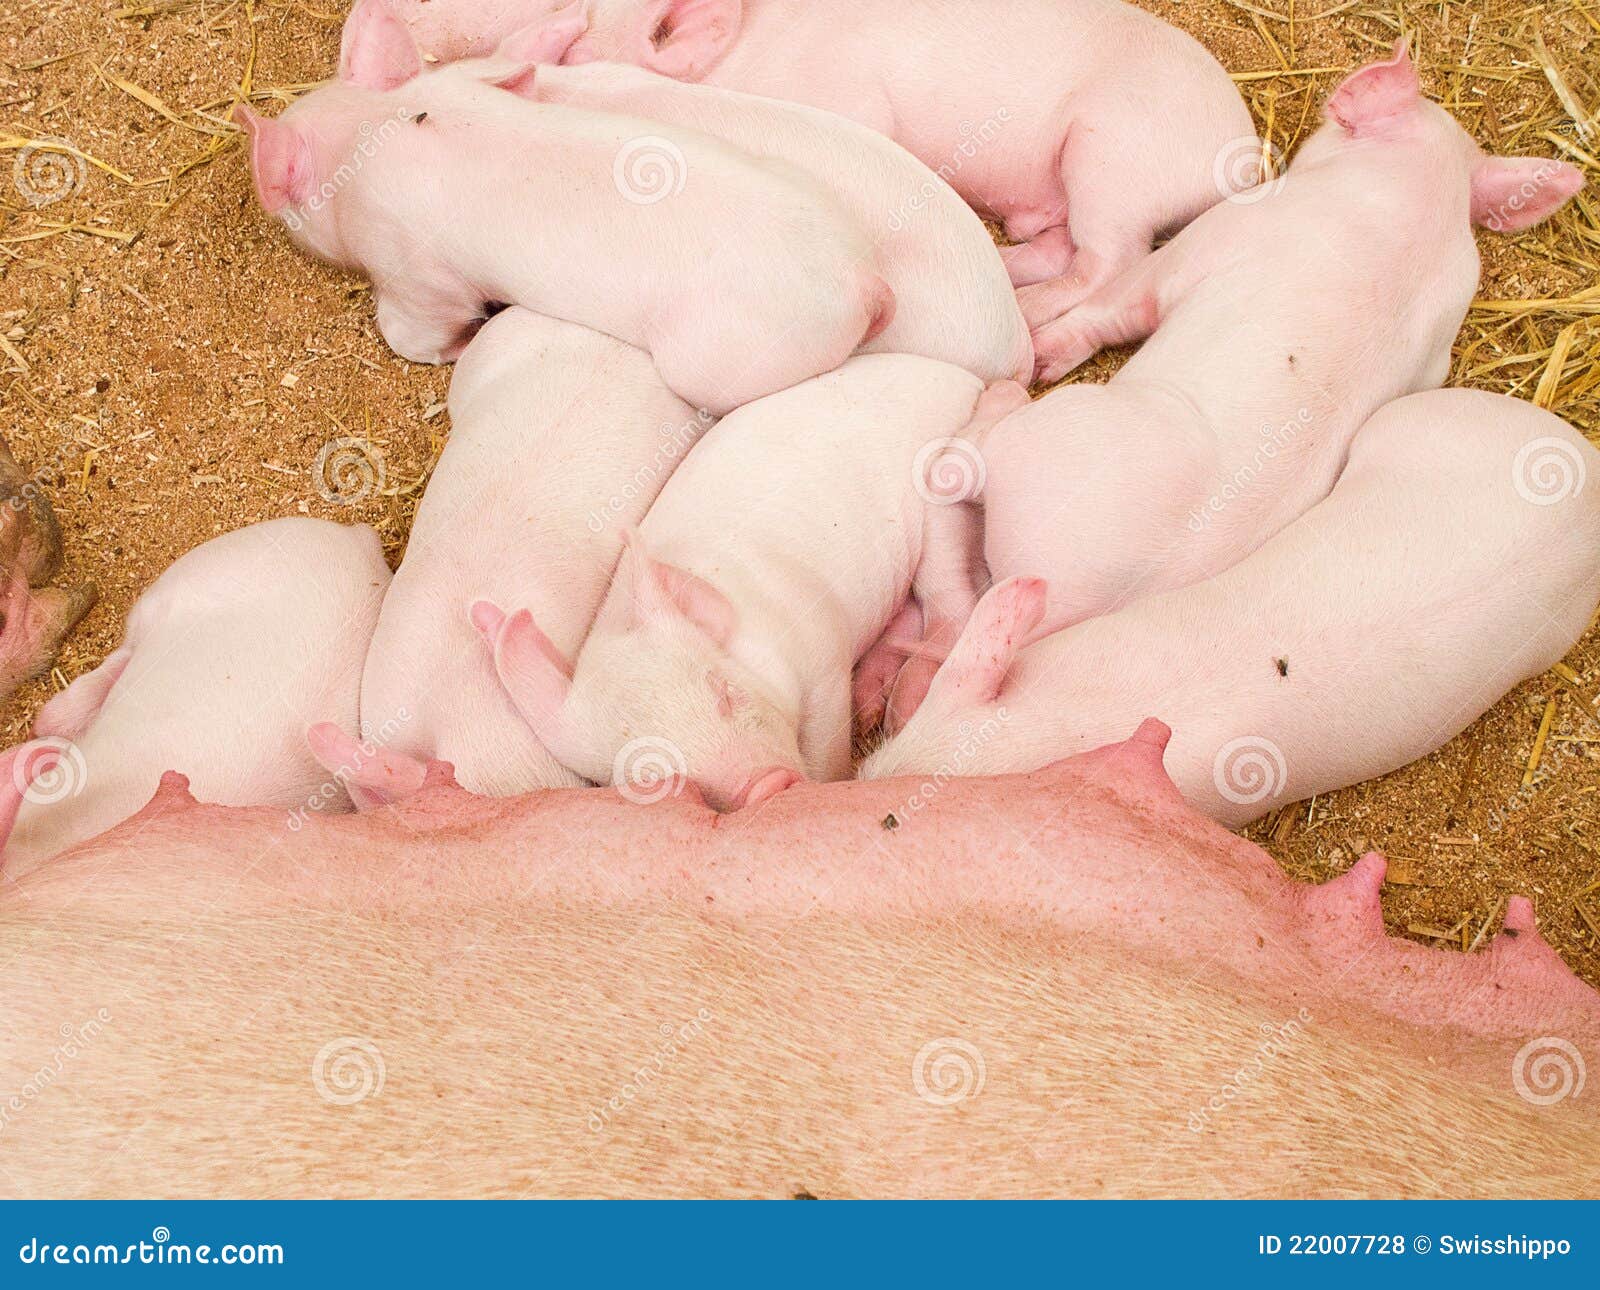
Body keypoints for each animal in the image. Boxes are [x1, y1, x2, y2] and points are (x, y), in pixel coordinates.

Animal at [236, 0, 893, 417]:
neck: (363, 139)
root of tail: (867, 285)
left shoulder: (411, 272)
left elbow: (415, 333)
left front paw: (466, 342)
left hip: (721, 359)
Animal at [369, 0, 1260, 320]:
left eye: (572, 34)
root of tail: (1242, 150)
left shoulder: (845, 93)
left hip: (1117, 155)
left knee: (1107, 261)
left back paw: (1035, 326)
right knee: (1058, 242)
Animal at [476, 354, 1028, 810]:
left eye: (724, 692)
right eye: (650, 777)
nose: (766, 785)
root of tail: (965, 378)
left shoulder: (822, 646)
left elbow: (825, 743)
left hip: (944, 495)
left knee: (949, 600)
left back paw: (903, 707)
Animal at [977, 44, 1584, 641]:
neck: (1424, 200)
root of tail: (1062, 605)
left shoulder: (1211, 242)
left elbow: (1119, 305)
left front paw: (1044, 349)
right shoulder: (1432, 357)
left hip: (1062, 430)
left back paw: (1012, 381)